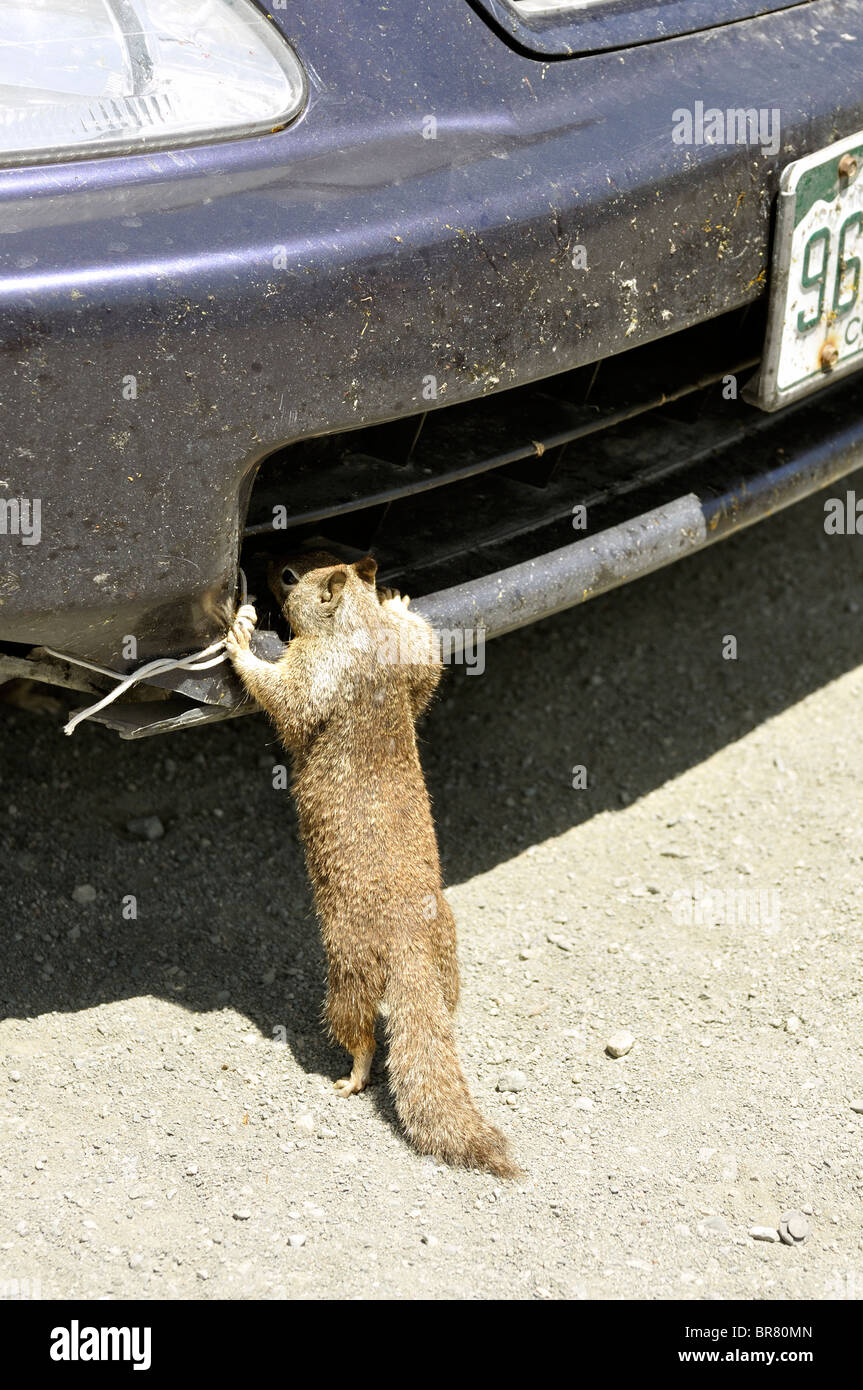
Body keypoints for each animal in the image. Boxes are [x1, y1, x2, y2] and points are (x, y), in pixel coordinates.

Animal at [224, 550, 519, 1178]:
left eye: (292, 578)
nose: (270, 565)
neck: (361, 632)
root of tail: (410, 949)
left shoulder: (317, 670)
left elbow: (283, 697)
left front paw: (239, 640)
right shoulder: (405, 666)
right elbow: (427, 671)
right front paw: (401, 605)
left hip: (345, 968)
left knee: (360, 1035)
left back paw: (352, 1076)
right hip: (446, 961)